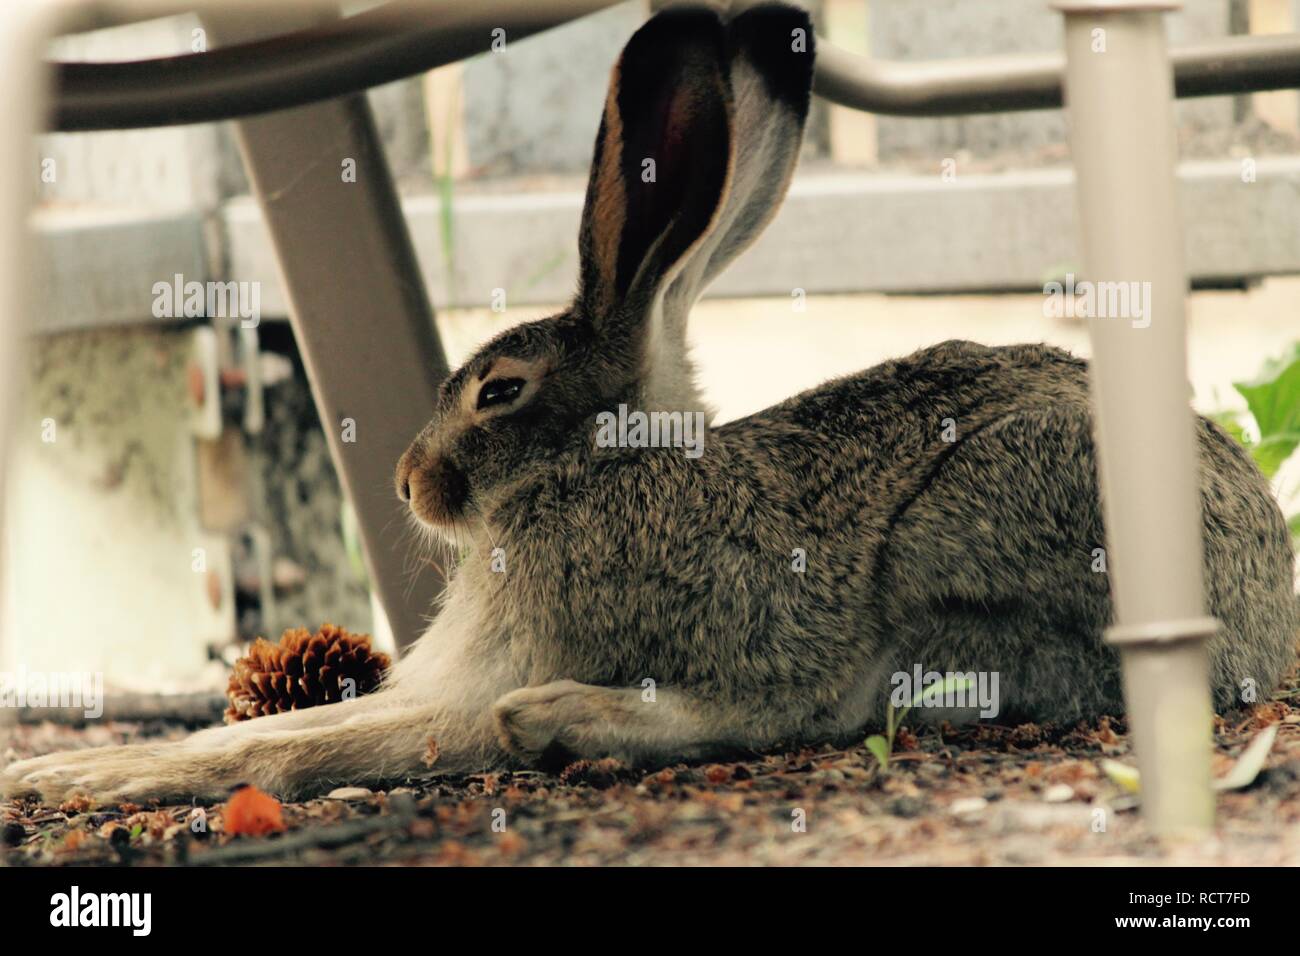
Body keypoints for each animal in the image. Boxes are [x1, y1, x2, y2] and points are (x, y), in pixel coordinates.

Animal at [3, 2, 1295, 806]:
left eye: (500, 391)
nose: (408, 481)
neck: (599, 464)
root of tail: (1259, 620)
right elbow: (282, 727)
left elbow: (330, 739)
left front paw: (72, 776)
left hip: (959, 540)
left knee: (810, 707)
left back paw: (564, 721)